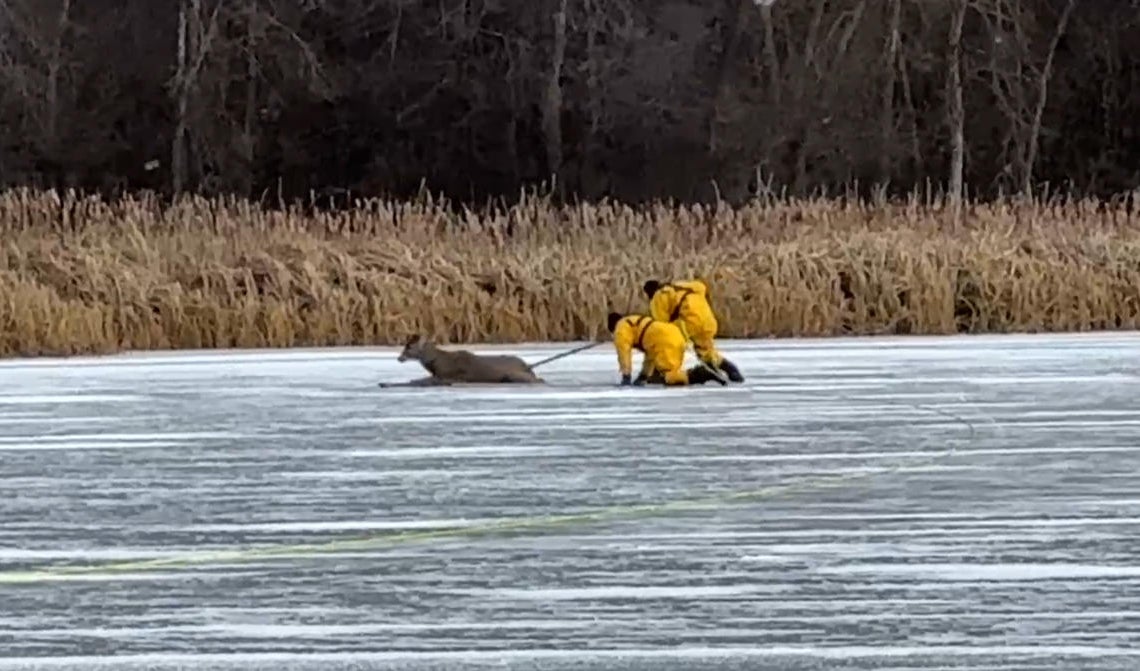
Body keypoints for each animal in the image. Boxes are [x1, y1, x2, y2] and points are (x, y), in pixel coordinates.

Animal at [378, 334, 546, 388]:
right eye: (404, 345)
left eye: (410, 347)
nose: (399, 358)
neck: (436, 362)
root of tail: (528, 366)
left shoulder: (446, 376)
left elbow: (418, 381)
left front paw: (385, 383)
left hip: (513, 375)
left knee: (539, 379)